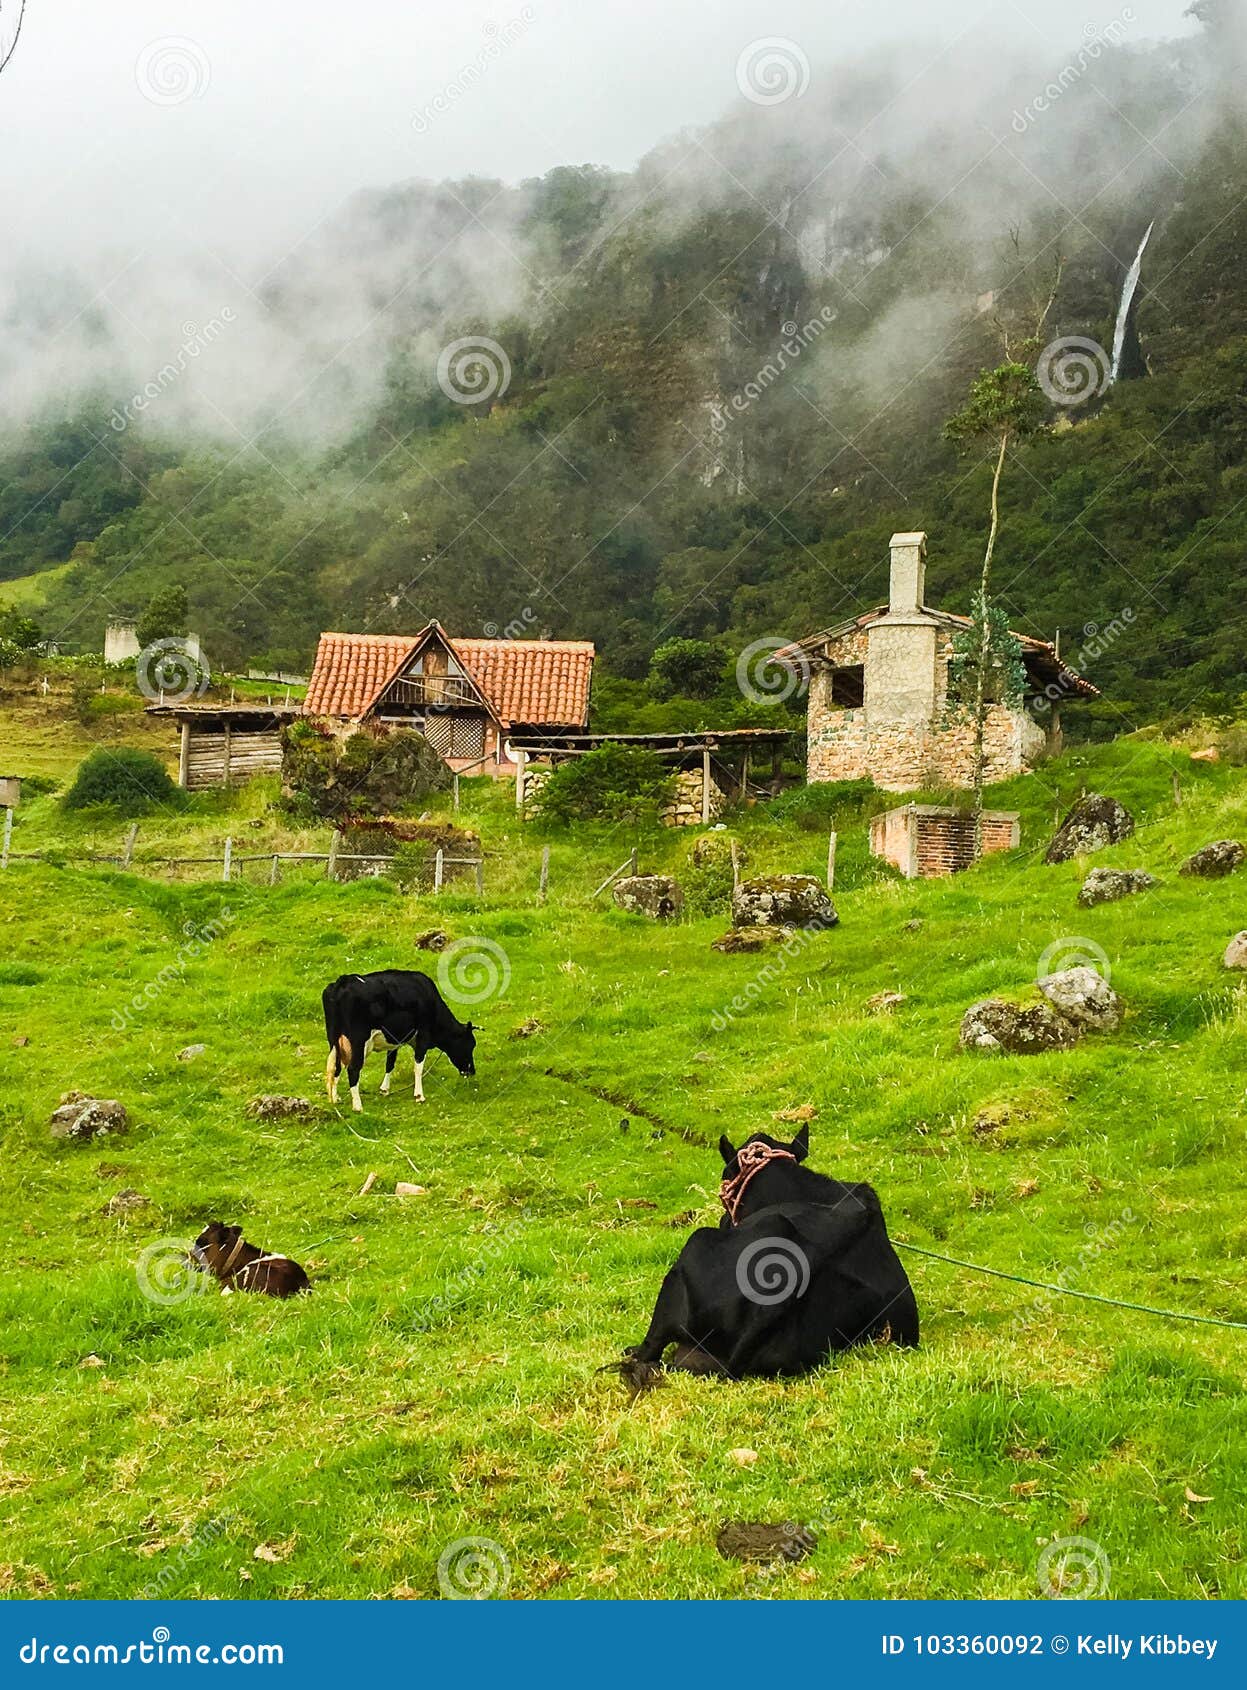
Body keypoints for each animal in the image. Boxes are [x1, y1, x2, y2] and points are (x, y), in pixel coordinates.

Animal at [322, 970, 476, 1112]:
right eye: (471, 1045)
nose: (472, 1071)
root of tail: (343, 981)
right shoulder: (423, 1035)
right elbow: (418, 1066)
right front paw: (419, 1095)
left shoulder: (395, 1039)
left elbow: (390, 1063)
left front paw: (384, 1089)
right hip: (359, 1041)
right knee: (353, 1068)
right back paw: (358, 1106)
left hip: (334, 1040)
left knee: (336, 1066)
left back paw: (335, 1099)